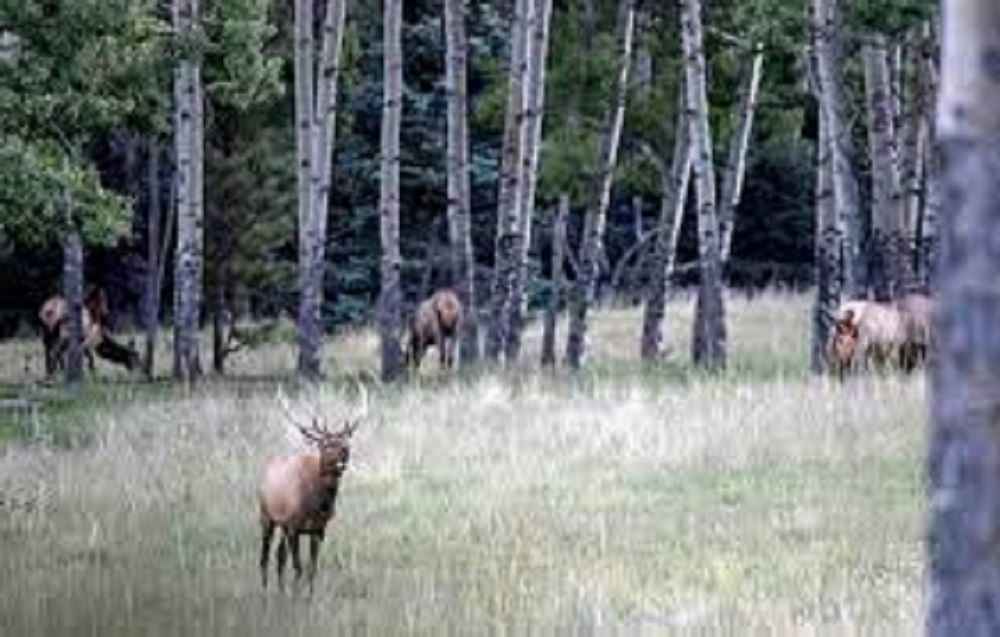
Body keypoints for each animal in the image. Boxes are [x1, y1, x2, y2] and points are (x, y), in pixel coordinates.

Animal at [258, 388, 366, 594]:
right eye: (324, 445)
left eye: (345, 446)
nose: (341, 464)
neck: (317, 505)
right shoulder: (294, 526)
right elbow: (298, 566)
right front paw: (296, 595)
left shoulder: (318, 529)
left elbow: (312, 567)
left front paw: (309, 595)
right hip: (266, 516)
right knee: (264, 556)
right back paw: (265, 591)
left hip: (283, 525)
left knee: (279, 556)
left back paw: (280, 590)